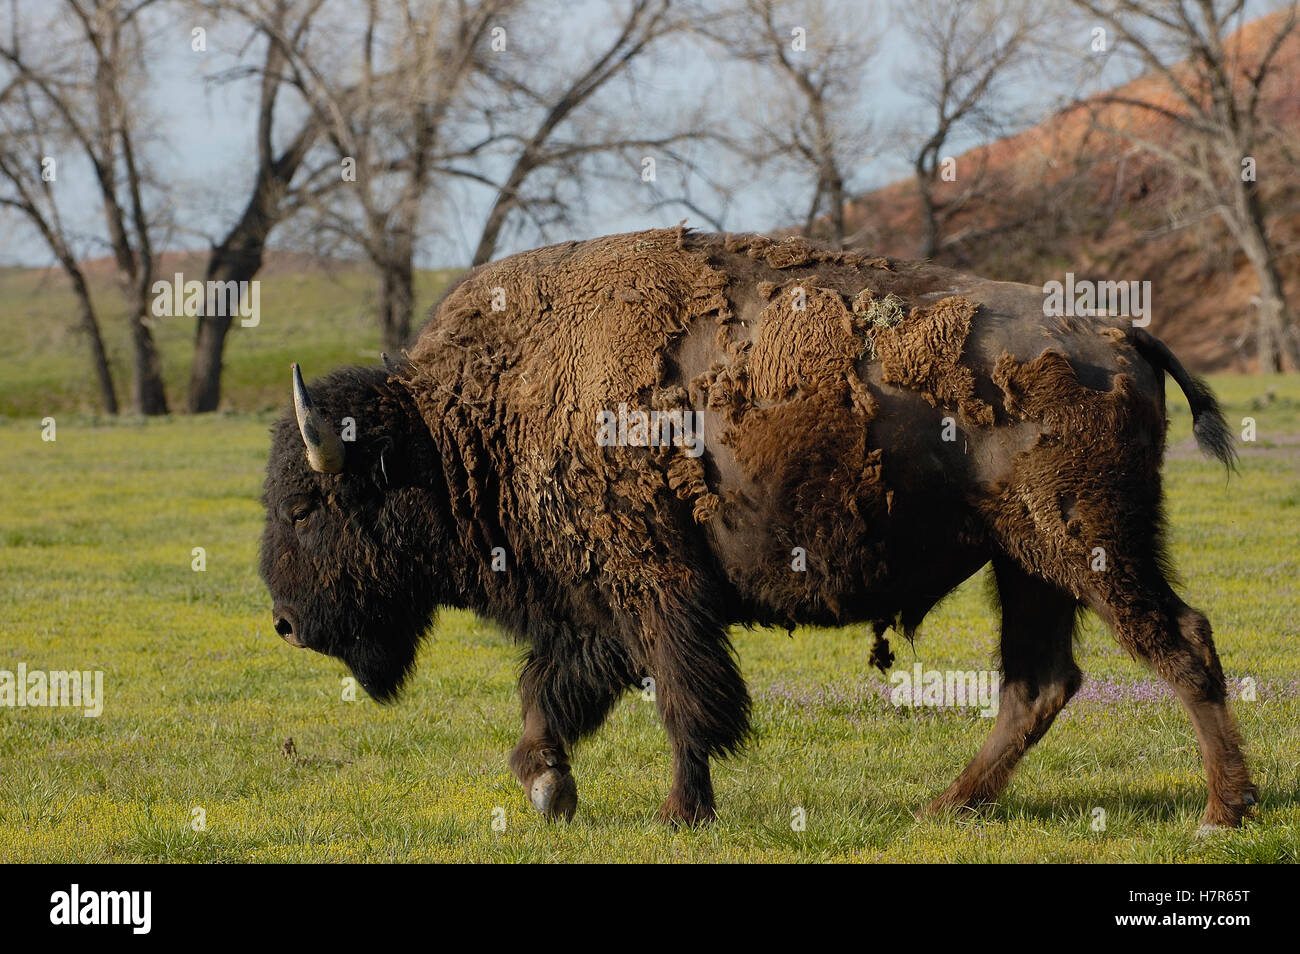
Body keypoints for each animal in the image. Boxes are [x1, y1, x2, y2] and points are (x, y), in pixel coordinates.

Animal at [260, 227, 1254, 830]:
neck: (461, 422)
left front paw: (678, 813)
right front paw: (547, 785)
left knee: (1181, 644)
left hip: (1088, 547)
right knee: (1039, 683)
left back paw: (1221, 811)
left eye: (308, 505)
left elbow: (683, 699)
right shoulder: (600, 606)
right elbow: (555, 691)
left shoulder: (655, 588)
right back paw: (949, 806)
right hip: (1028, 564)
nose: (284, 622)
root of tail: (1117, 335)